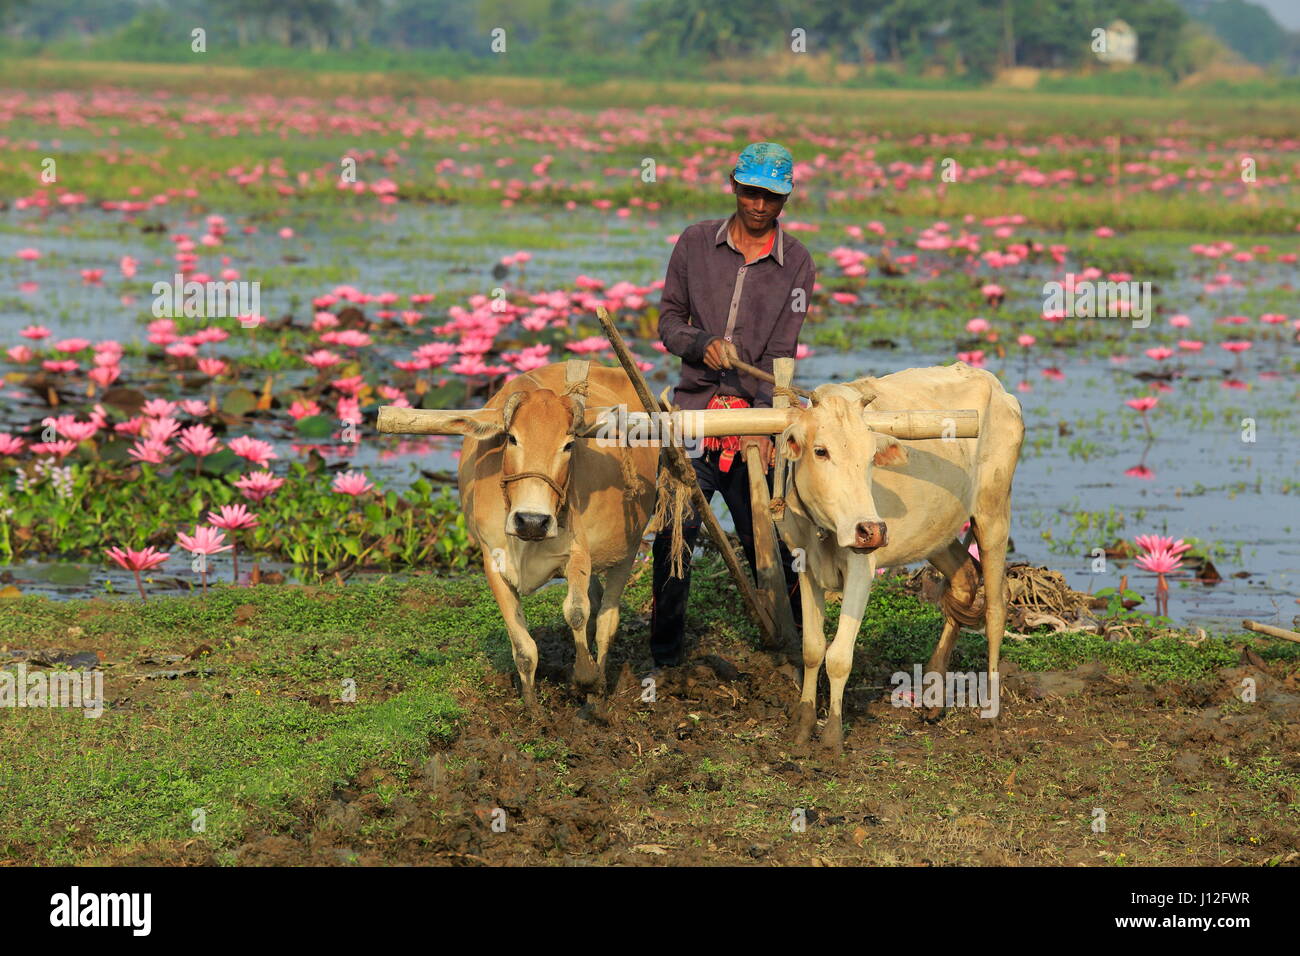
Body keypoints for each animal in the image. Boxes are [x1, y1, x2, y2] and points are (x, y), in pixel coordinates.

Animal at [439, 362, 658, 714]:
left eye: (568, 444)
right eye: (512, 438)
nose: (532, 520)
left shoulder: (578, 555)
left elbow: (577, 613)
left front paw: (586, 679)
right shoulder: (492, 561)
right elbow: (523, 645)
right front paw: (532, 708)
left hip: (629, 548)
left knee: (606, 620)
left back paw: (599, 686)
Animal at [774, 361, 1024, 751]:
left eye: (870, 456)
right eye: (820, 451)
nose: (871, 530)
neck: (827, 530)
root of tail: (995, 385)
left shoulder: (862, 569)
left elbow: (839, 657)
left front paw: (832, 736)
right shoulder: (804, 566)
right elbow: (813, 648)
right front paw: (803, 724)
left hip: (994, 513)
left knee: (997, 605)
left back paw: (991, 710)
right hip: (936, 533)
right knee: (964, 580)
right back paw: (933, 694)